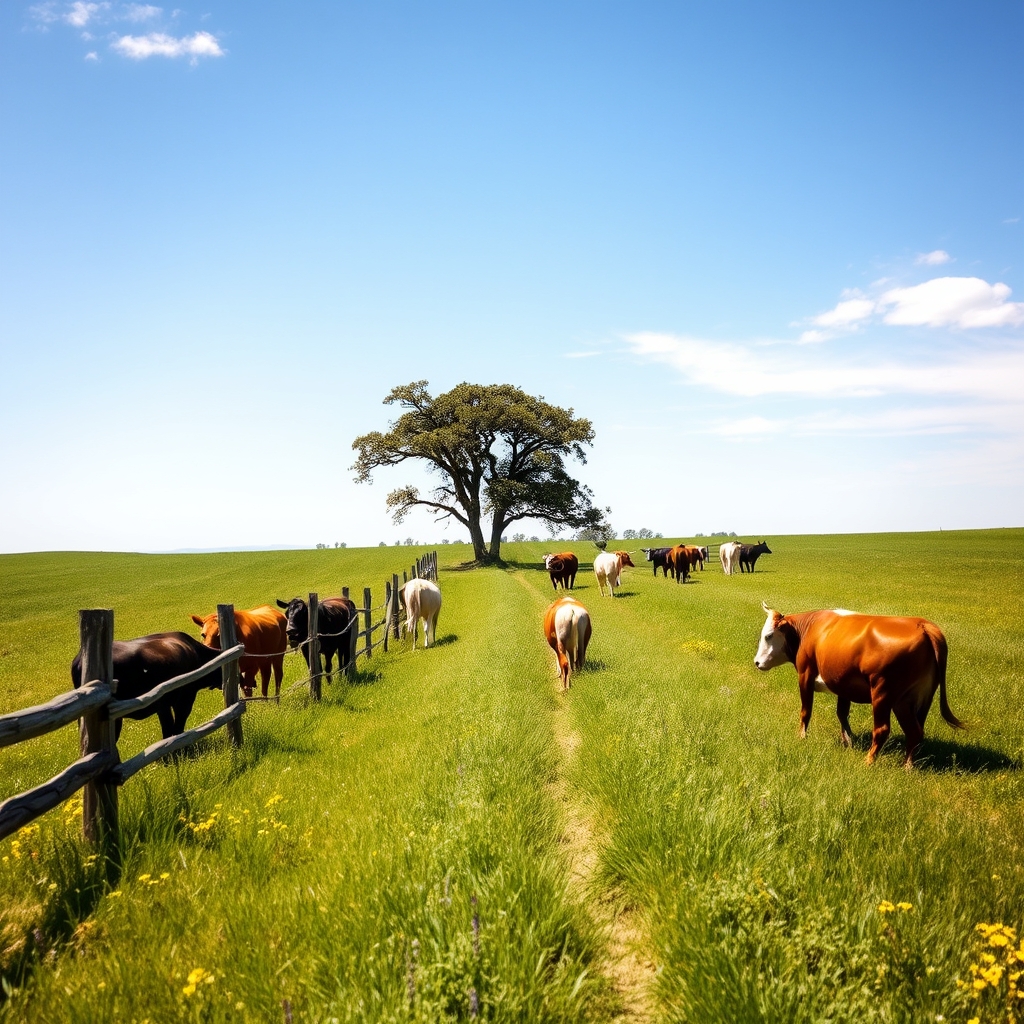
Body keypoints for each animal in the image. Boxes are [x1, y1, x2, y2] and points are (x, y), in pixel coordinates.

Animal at [753, 603, 964, 767]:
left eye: (768, 635)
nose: (757, 662)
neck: (809, 628)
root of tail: (924, 626)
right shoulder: (842, 683)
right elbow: (842, 713)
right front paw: (848, 740)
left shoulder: (805, 674)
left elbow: (806, 711)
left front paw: (802, 737)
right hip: (916, 698)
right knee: (916, 731)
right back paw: (907, 765)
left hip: (884, 692)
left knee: (883, 729)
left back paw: (869, 761)